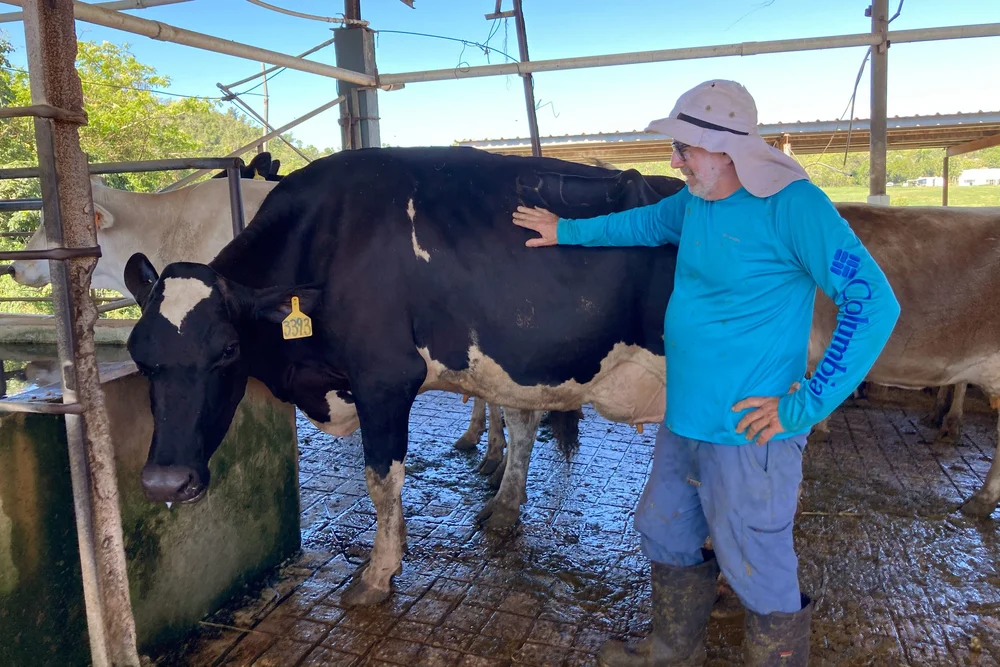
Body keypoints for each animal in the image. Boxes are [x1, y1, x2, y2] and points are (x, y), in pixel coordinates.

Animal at [120, 146, 683, 607]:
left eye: (228, 350)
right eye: (139, 355)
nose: (166, 482)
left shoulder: (384, 378)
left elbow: (382, 478)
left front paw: (377, 573)